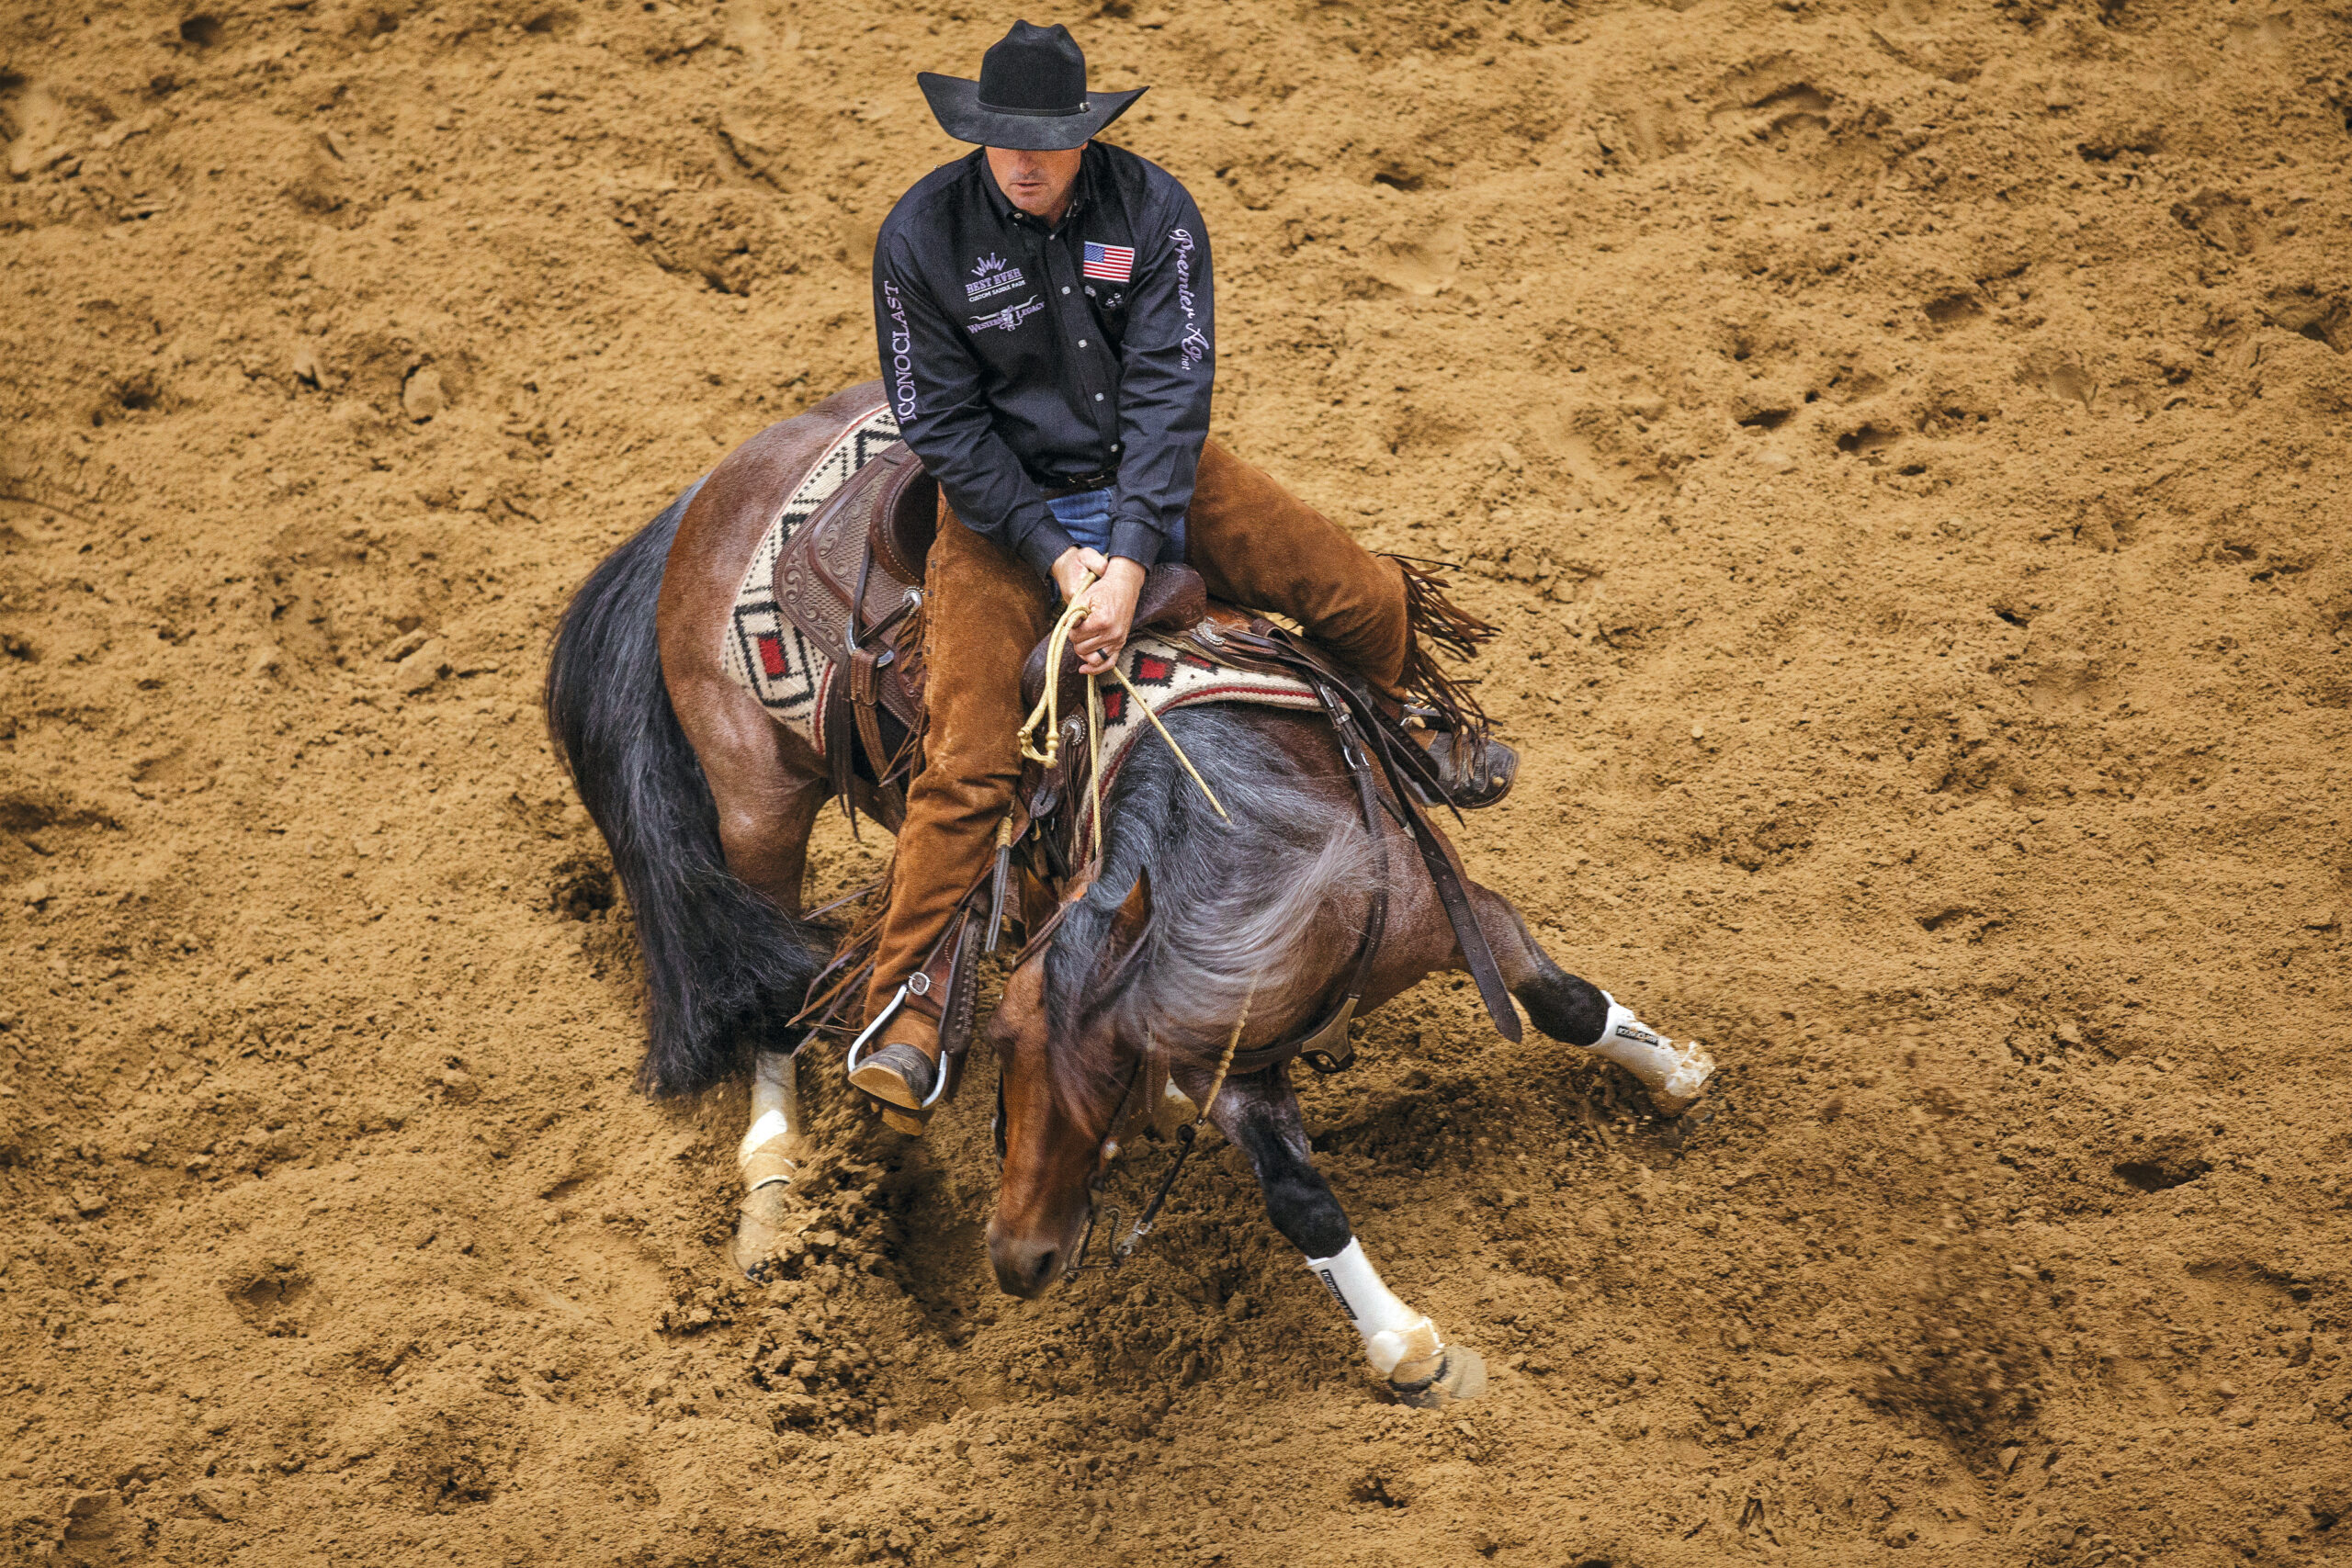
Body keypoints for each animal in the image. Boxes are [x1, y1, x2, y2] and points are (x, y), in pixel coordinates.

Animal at [545, 383, 1714, 1402]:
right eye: (1003, 1069)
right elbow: (1300, 1200)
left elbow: (1563, 1003)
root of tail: (711, 489)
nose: (1015, 1260)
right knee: (766, 993)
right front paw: (1406, 1347)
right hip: (758, 803)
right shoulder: (1221, 1061)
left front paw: (1680, 1073)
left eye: (1110, 1079)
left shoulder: (1441, 911)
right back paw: (774, 1184)